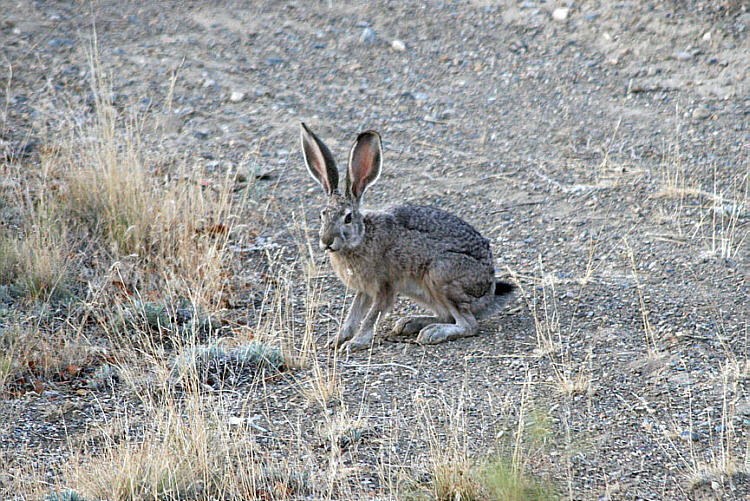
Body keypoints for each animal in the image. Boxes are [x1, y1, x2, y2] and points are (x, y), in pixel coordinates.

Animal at [300, 122, 514, 352]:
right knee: (448, 316)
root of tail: (489, 292)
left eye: (348, 218)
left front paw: (355, 343)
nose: (326, 241)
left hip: (440, 274)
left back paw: (432, 333)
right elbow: (353, 314)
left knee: (468, 324)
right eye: (322, 215)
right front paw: (337, 339)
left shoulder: (384, 286)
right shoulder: (364, 290)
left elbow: (371, 316)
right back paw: (409, 323)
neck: (362, 237)